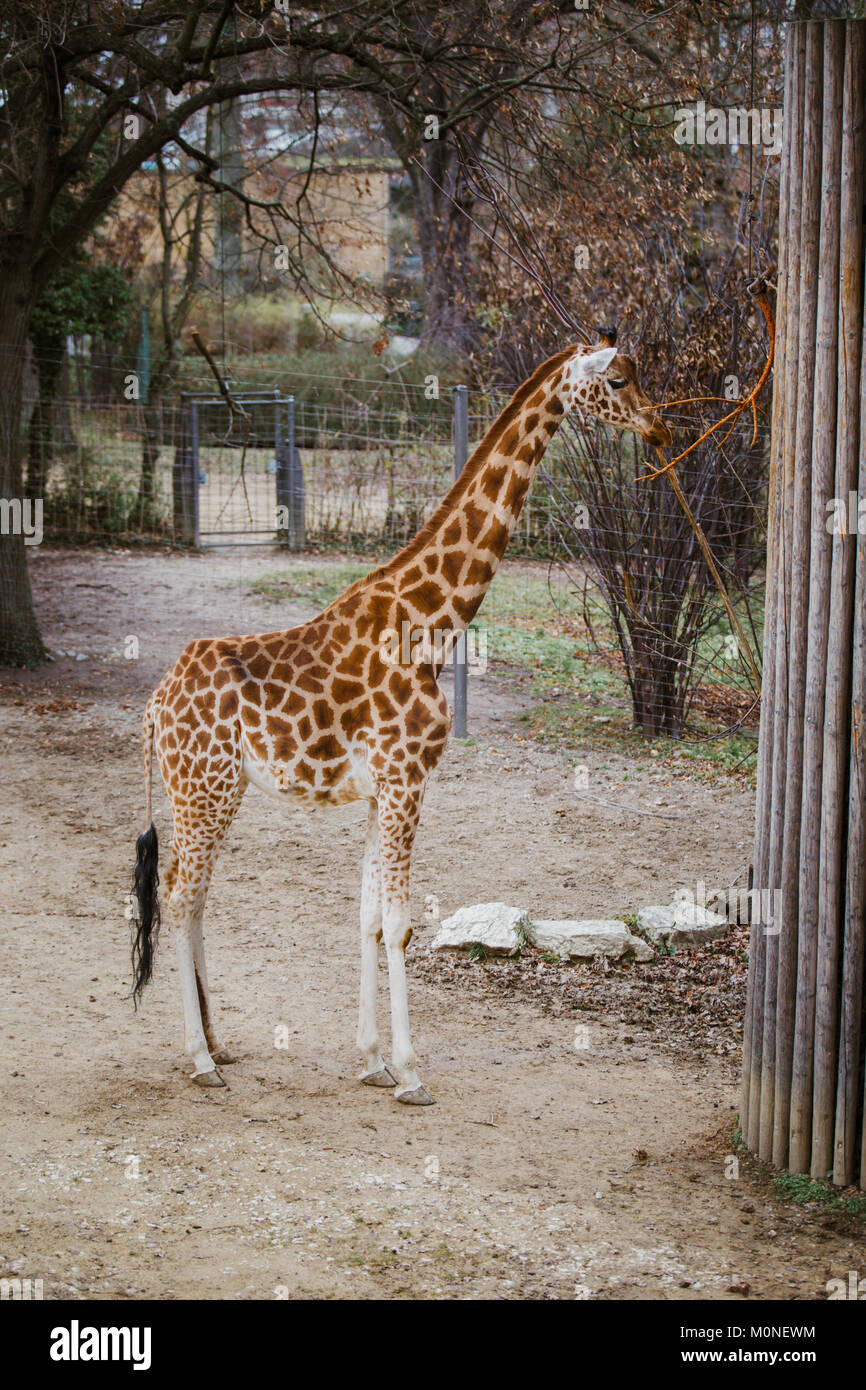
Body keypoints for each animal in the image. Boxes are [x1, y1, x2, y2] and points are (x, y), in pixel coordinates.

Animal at [130, 336, 671, 1104]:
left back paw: (219, 1043)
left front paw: (371, 1060)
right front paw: (411, 1073)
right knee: (178, 897)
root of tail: (155, 705)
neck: (432, 622)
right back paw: (200, 1059)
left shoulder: (379, 789)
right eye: (620, 380)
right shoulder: (408, 778)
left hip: (210, 790)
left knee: (195, 895)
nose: (660, 428)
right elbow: (398, 924)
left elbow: (363, 918)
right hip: (203, 789)